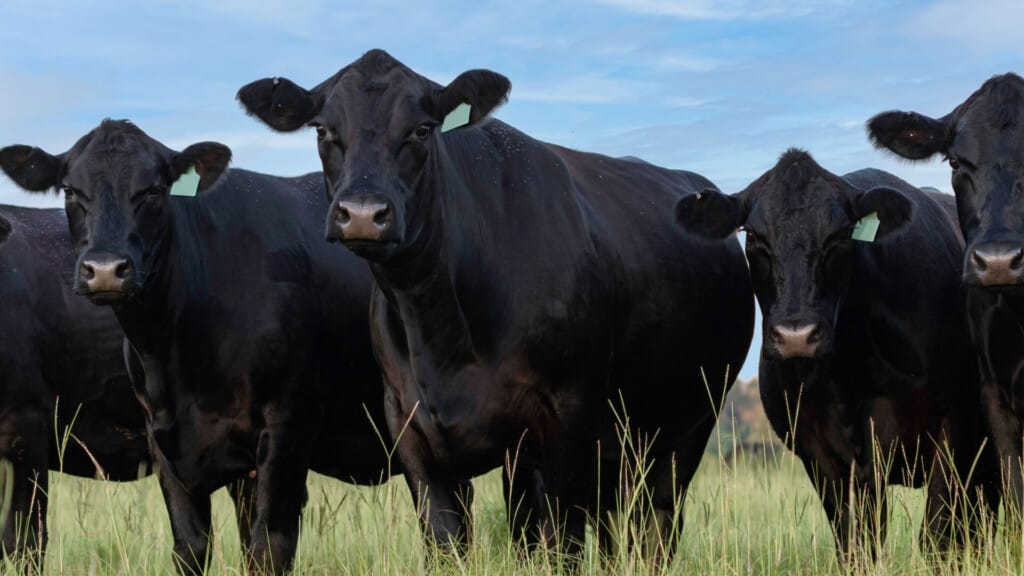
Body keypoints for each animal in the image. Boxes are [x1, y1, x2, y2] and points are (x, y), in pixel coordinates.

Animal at [236, 49, 754, 559]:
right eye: (323, 130)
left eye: (422, 129)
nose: (362, 214)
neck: (441, 329)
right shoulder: (411, 430)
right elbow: (449, 541)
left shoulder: (568, 420)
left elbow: (561, 544)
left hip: (687, 426)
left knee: (654, 528)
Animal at [675, 149, 997, 561]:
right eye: (756, 237)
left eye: (839, 237)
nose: (796, 335)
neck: (850, 376)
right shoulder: (823, 454)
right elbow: (857, 542)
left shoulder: (956, 430)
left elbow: (939, 536)